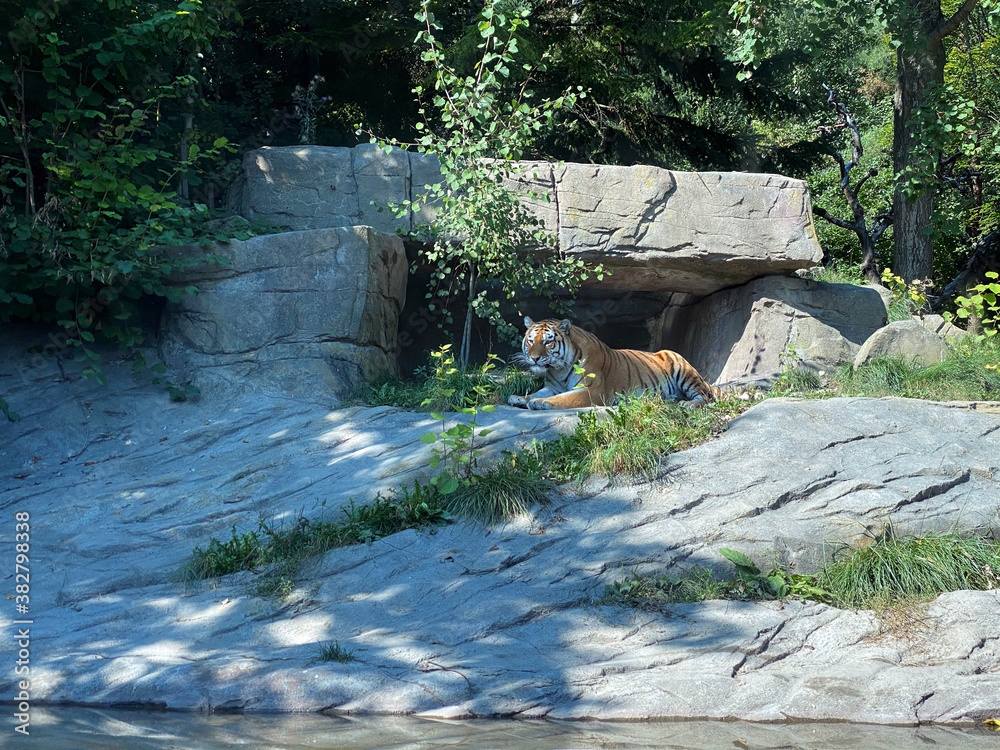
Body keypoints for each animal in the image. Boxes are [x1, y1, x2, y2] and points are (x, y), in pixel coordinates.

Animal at [507, 317, 723, 410]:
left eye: (548, 342)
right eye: (530, 341)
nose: (534, 358)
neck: (558, 369)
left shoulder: (592, 391)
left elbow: (563, 399)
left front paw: (540, 403)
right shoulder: (552, 386)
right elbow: (536, 392)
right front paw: (519, 398)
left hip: (683, 369)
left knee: (706, 396)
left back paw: (688, 404)